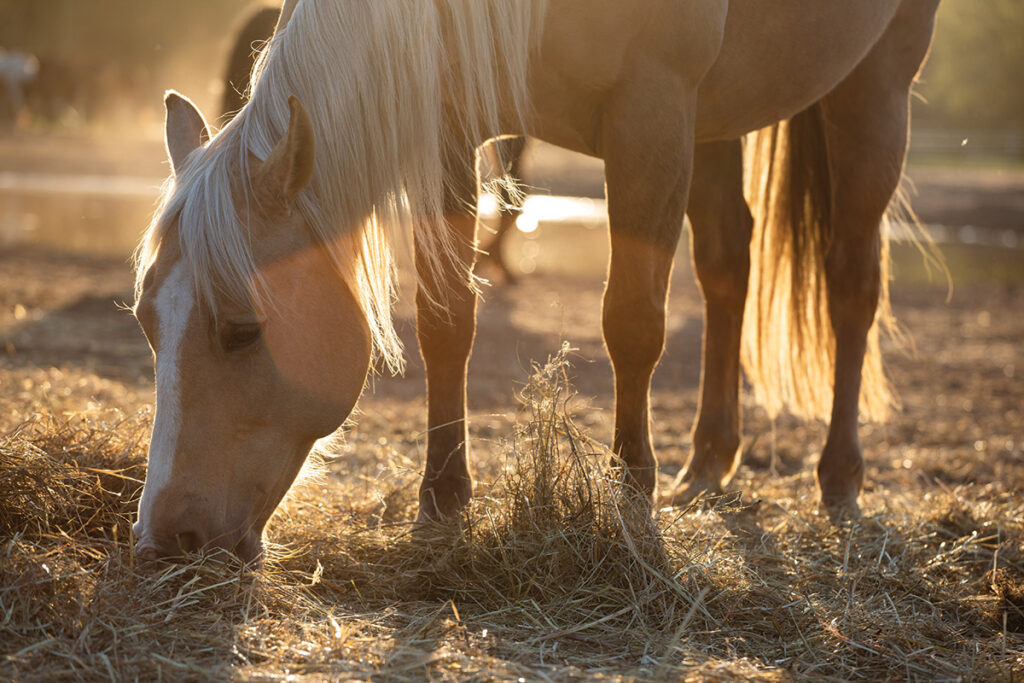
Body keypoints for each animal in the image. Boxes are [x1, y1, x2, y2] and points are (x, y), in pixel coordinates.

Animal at [131, 0, 939, 563]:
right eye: (145, 321)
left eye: (241, 331)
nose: (163, 538)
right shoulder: (450, 121)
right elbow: (446, 318)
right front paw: (443, 497)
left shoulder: (651, 111)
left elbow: (632, 320)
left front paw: (631, 493)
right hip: (719, 112)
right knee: (725, 264)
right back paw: (709, 460)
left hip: (874, 84)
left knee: (852, 279)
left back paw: (839, 475)